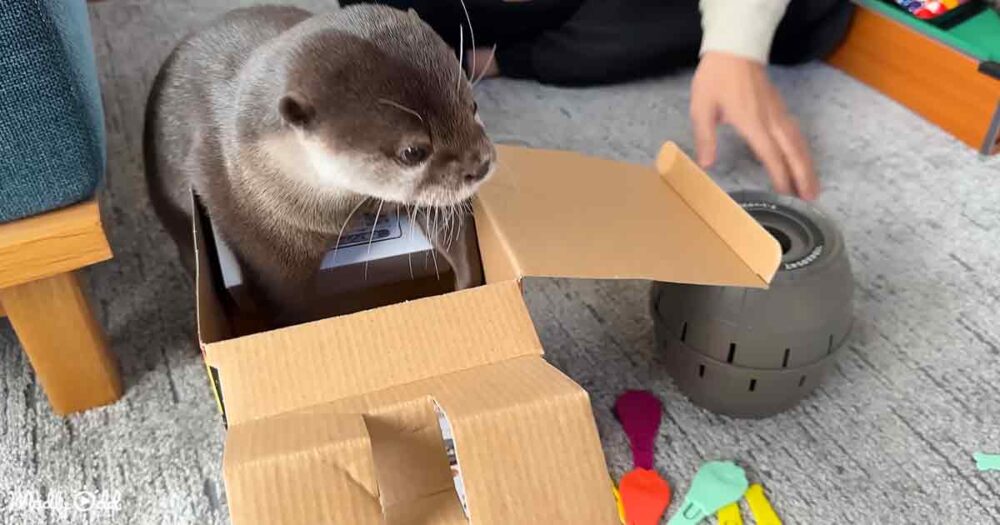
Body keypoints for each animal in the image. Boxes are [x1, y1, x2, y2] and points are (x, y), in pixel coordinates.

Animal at [143, 5, 494, 325]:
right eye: (412, 152)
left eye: (473, 105)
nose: (481, 165)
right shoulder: (260, 240)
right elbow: (287, 307)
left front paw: (466, 288)